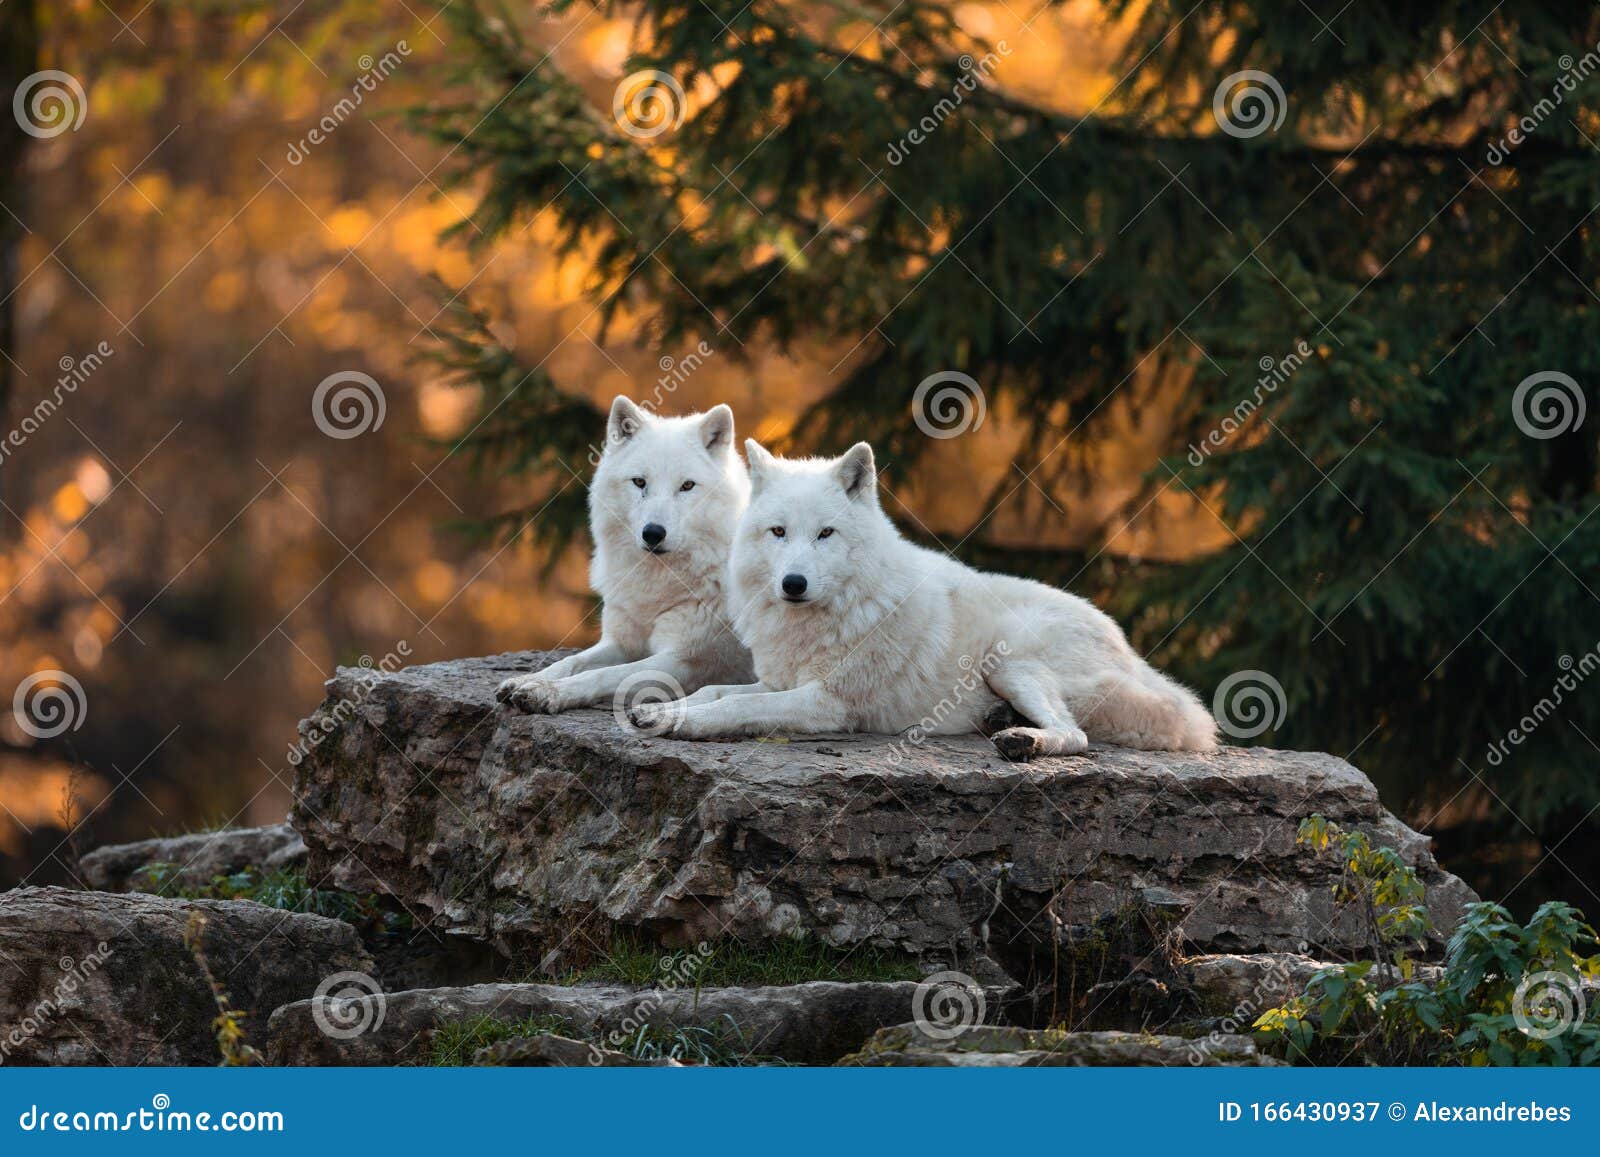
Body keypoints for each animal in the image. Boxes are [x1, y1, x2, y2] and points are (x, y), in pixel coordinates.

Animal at [497, 396, 754, 714]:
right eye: (639, 482)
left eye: (687, 486)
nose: (653, 533)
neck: (656, 586)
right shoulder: (622, 643)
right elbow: (571, 661)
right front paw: (529, 680)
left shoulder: (683, 660)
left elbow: (603, 675)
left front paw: (548, 692)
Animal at [628, 439, 1216, 760]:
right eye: (778, 532)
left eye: (825, 534)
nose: (793, 583)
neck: (834, 614)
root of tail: (1128, 648)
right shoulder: (777, 680)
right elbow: (713, 692)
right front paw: (662, 710)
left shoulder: (827, 704)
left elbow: (733, 707)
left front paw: (682, 723)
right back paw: (1001, 723)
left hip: (1009, 660)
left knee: (1077, 736)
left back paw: (1021, 742)